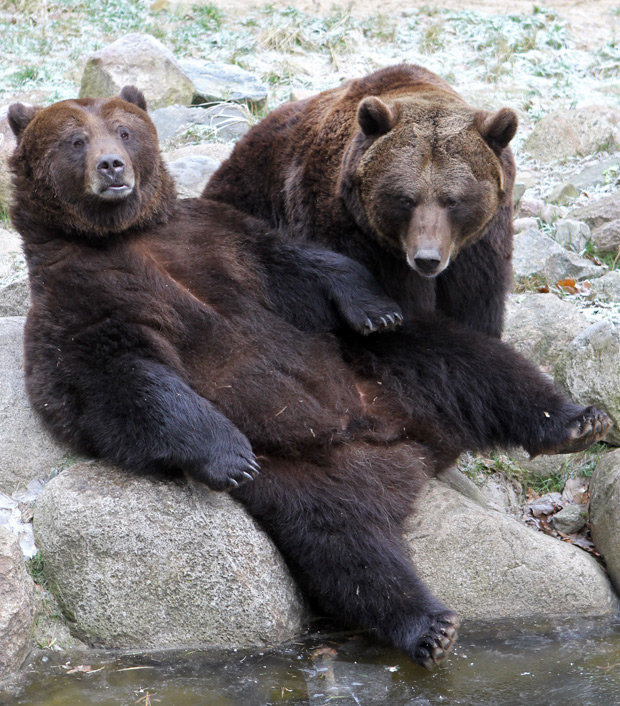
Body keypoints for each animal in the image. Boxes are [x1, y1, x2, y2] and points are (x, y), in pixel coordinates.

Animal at [205, 64, 517, 339]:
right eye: (406, 199)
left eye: (453, 201)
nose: (427, 259)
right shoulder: (346, 227)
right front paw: (384, 316)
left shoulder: (481, 246)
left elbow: (476, 305)